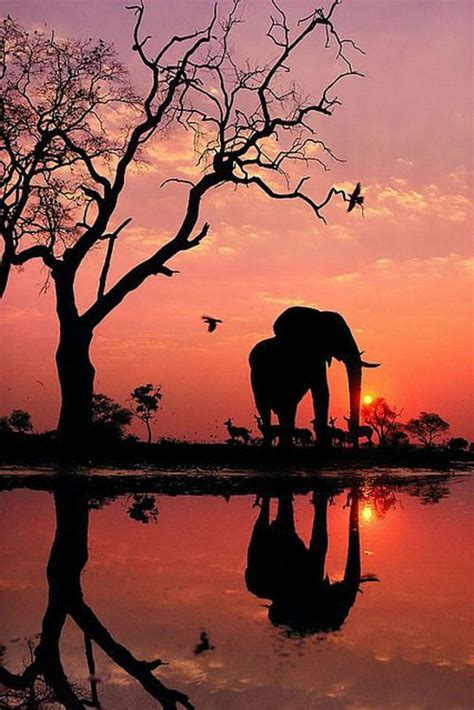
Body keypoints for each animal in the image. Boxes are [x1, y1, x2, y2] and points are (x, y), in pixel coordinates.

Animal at [249, 306, 380, 447]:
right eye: (336, 335)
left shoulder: (317, 358)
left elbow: (321, 391)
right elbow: (319, 390)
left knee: (288, 407)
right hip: (256, 378)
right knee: (265, 407)